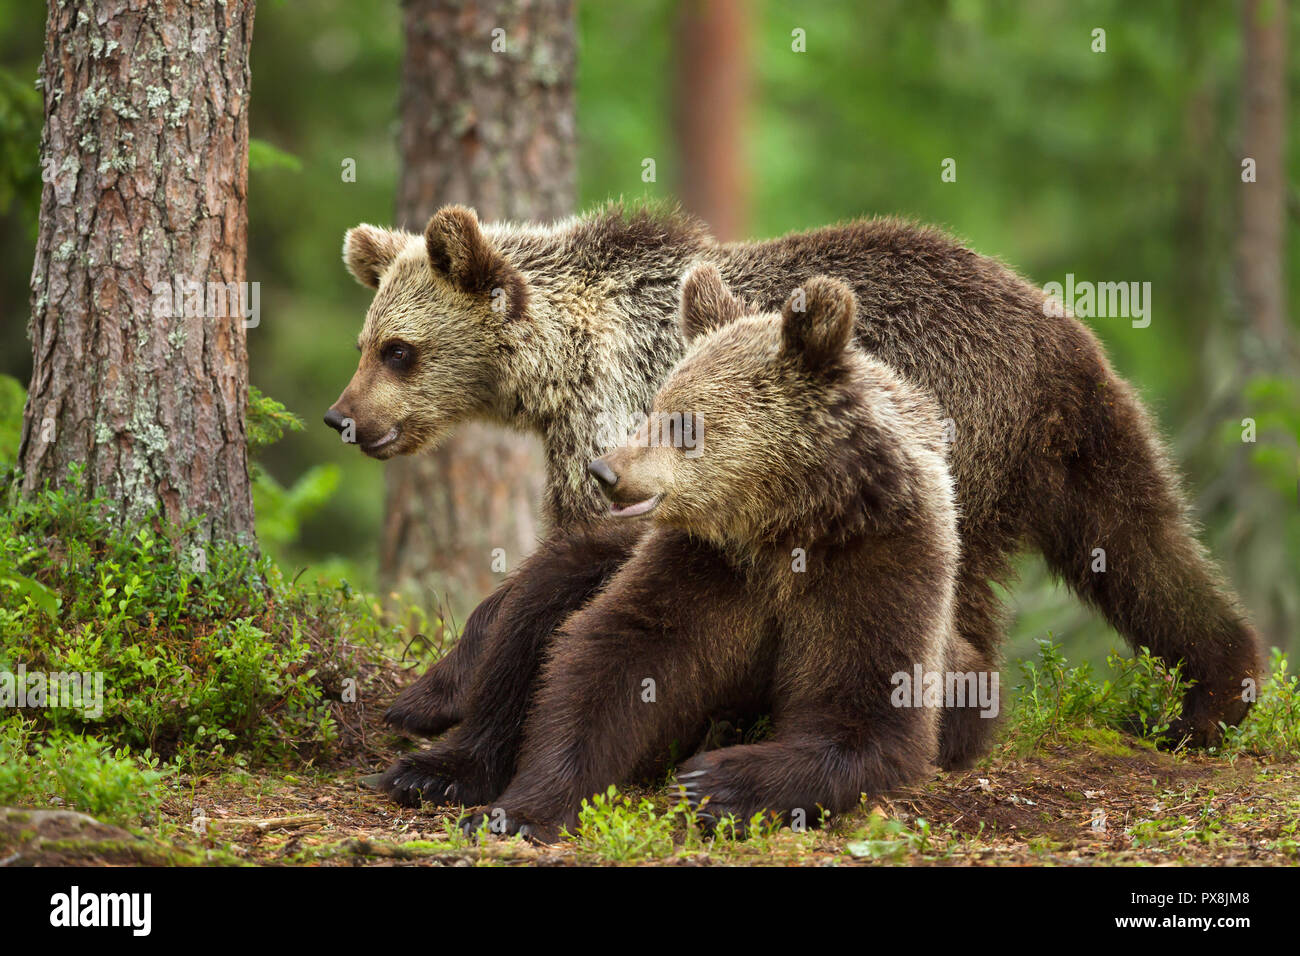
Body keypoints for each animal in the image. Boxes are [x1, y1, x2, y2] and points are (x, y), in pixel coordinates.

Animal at [331, 202, 1260, 760]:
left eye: (400, 351)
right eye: (366, 342)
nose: (344, 417)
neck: (562, 366)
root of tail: (1060, 339)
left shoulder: (629, 430)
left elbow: (575, 565)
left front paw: (432, 692)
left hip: (959, 436)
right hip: (1077, 449)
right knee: (1142, 546)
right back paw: (1214, 696)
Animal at [384, 269, 966, 839]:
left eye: (686, 423)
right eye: (657, 406)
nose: (606, 470)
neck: (784, 524)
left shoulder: (879, 568)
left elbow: (866, 711)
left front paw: (713, 785)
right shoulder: (705, 562)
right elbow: (615, 656)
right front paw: (524, 811)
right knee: (526, 626)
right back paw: (434, 768)